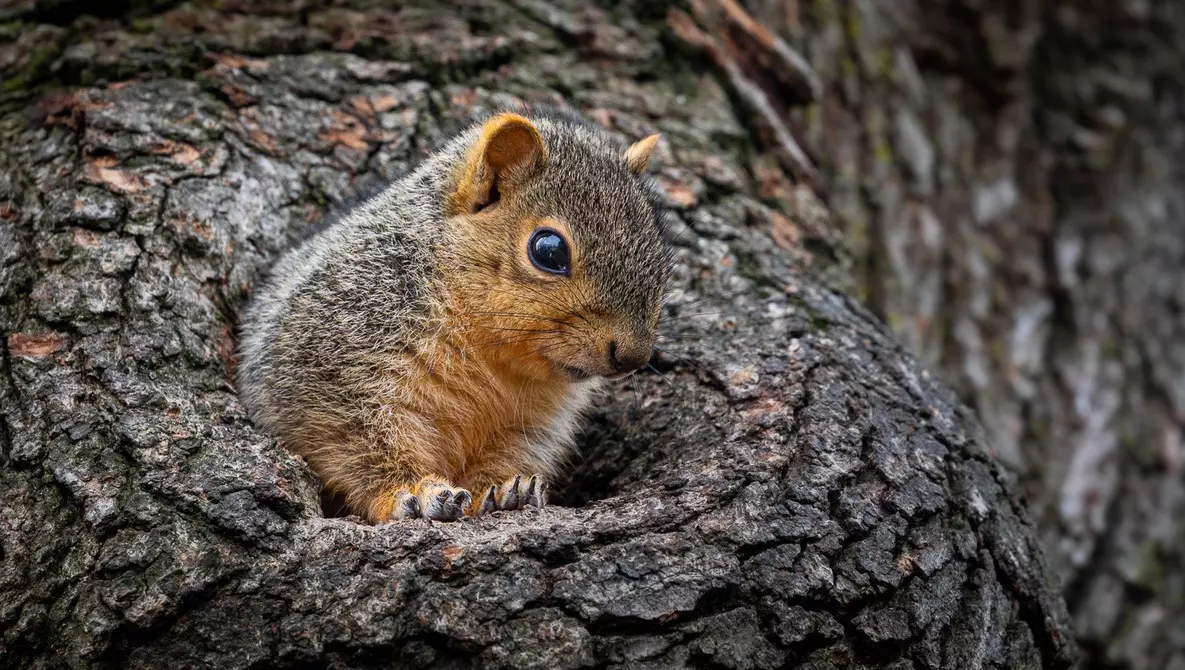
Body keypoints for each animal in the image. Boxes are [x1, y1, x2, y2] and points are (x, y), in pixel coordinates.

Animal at [235, 104, 673, 521]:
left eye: (657, 249)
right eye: (549, 251)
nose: (632, 356)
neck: (489, 354)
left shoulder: (530, 426)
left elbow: (509, 457)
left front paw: (503, 490)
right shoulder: (330, 364)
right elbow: (357, 442)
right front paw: (412, 490)